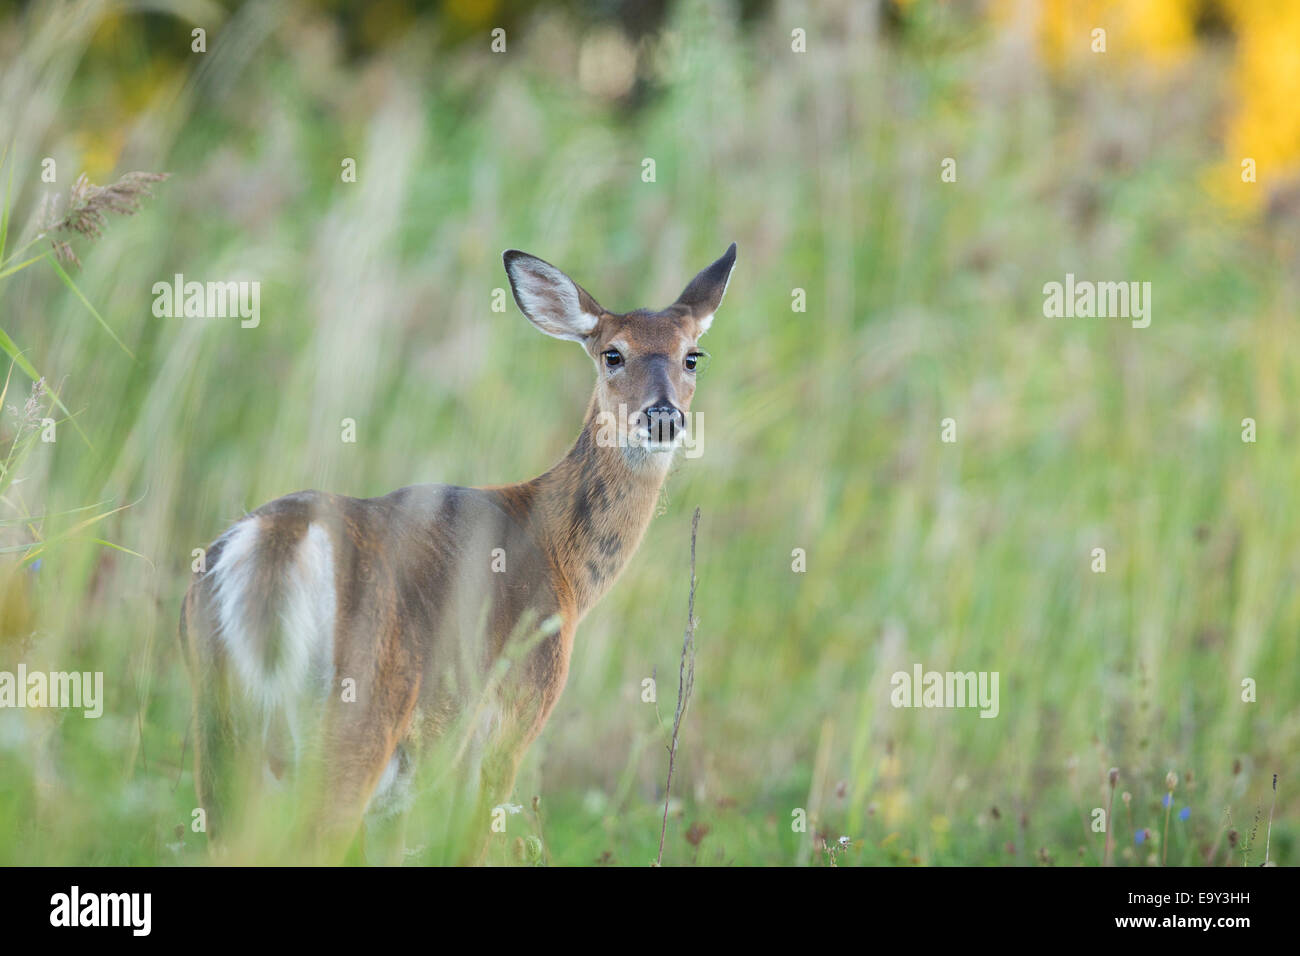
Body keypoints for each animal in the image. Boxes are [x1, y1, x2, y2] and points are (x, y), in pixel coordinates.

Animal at [179, 243, 737, 863]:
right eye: (612, 354)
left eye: (693, 356)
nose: (663, 417)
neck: (560, 563)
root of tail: (277, 542)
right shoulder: (509, 721)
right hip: (358, 716)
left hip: (219, 724)